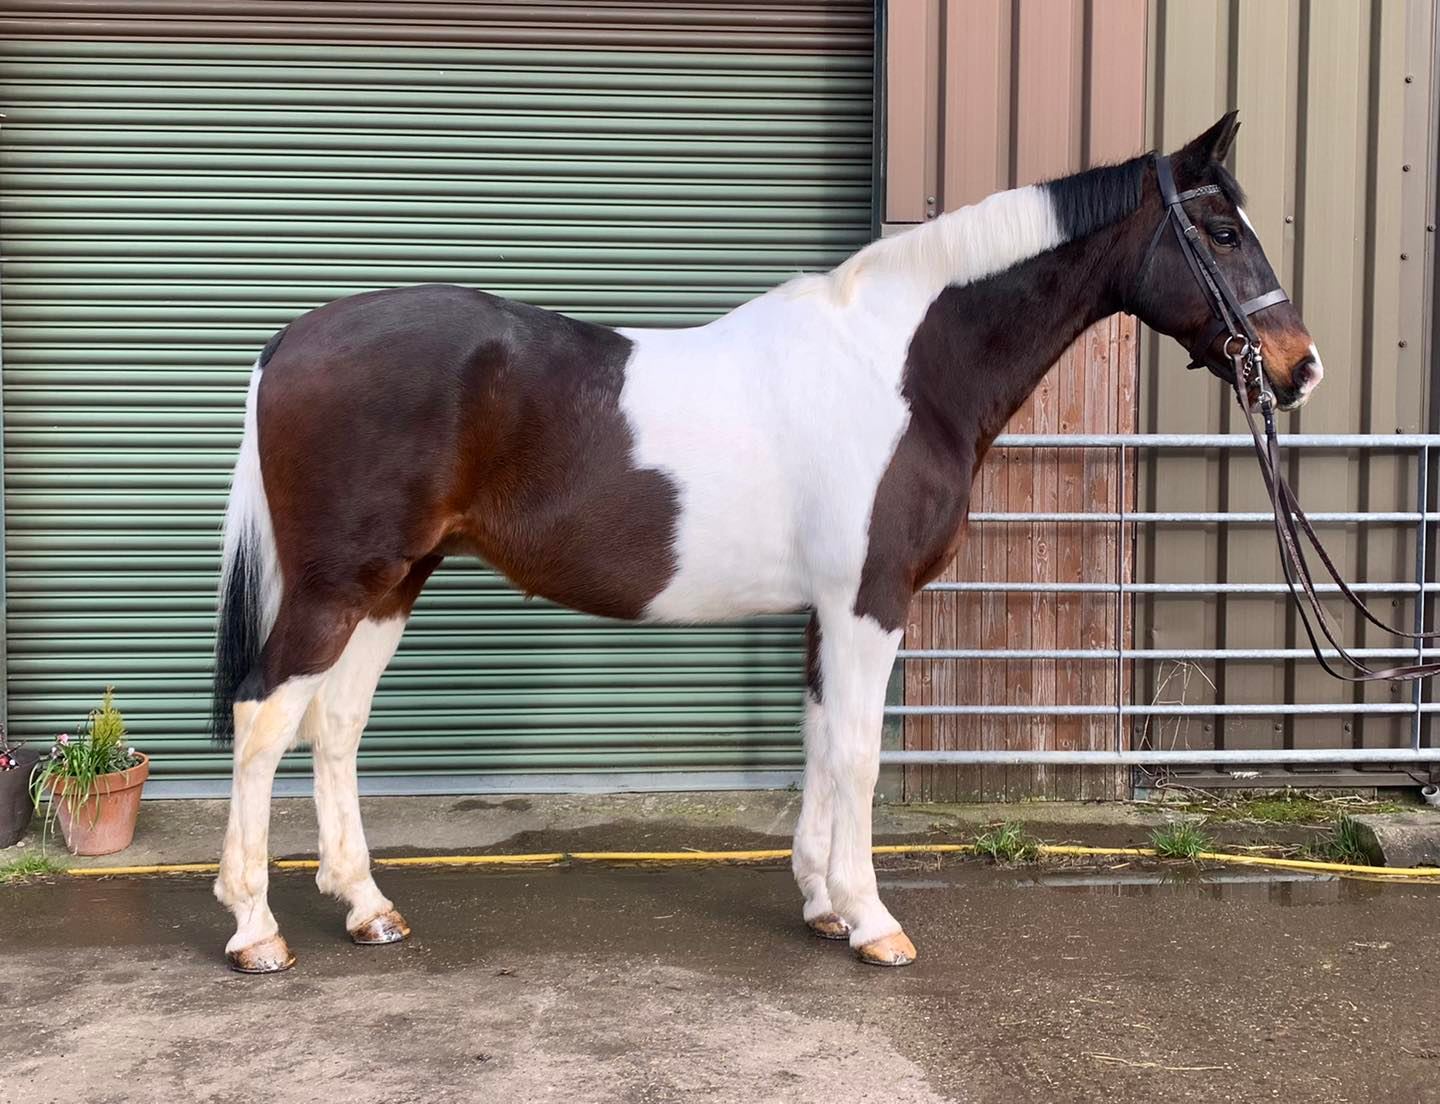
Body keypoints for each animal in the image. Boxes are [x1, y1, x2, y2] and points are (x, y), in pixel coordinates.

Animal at [210, 112, 1322, 973]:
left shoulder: (829, 610)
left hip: (393, 581)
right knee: (266, 720)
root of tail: (292, 339)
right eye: (1220, 229)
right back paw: (257, 928)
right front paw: (874, 922)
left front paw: (824, 903)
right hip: (336, 585)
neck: (902, 368)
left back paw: (367, 908)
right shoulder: (870, 600)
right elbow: (862, 753)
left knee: (336, 726)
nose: (1299, 366)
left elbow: (823, 742)